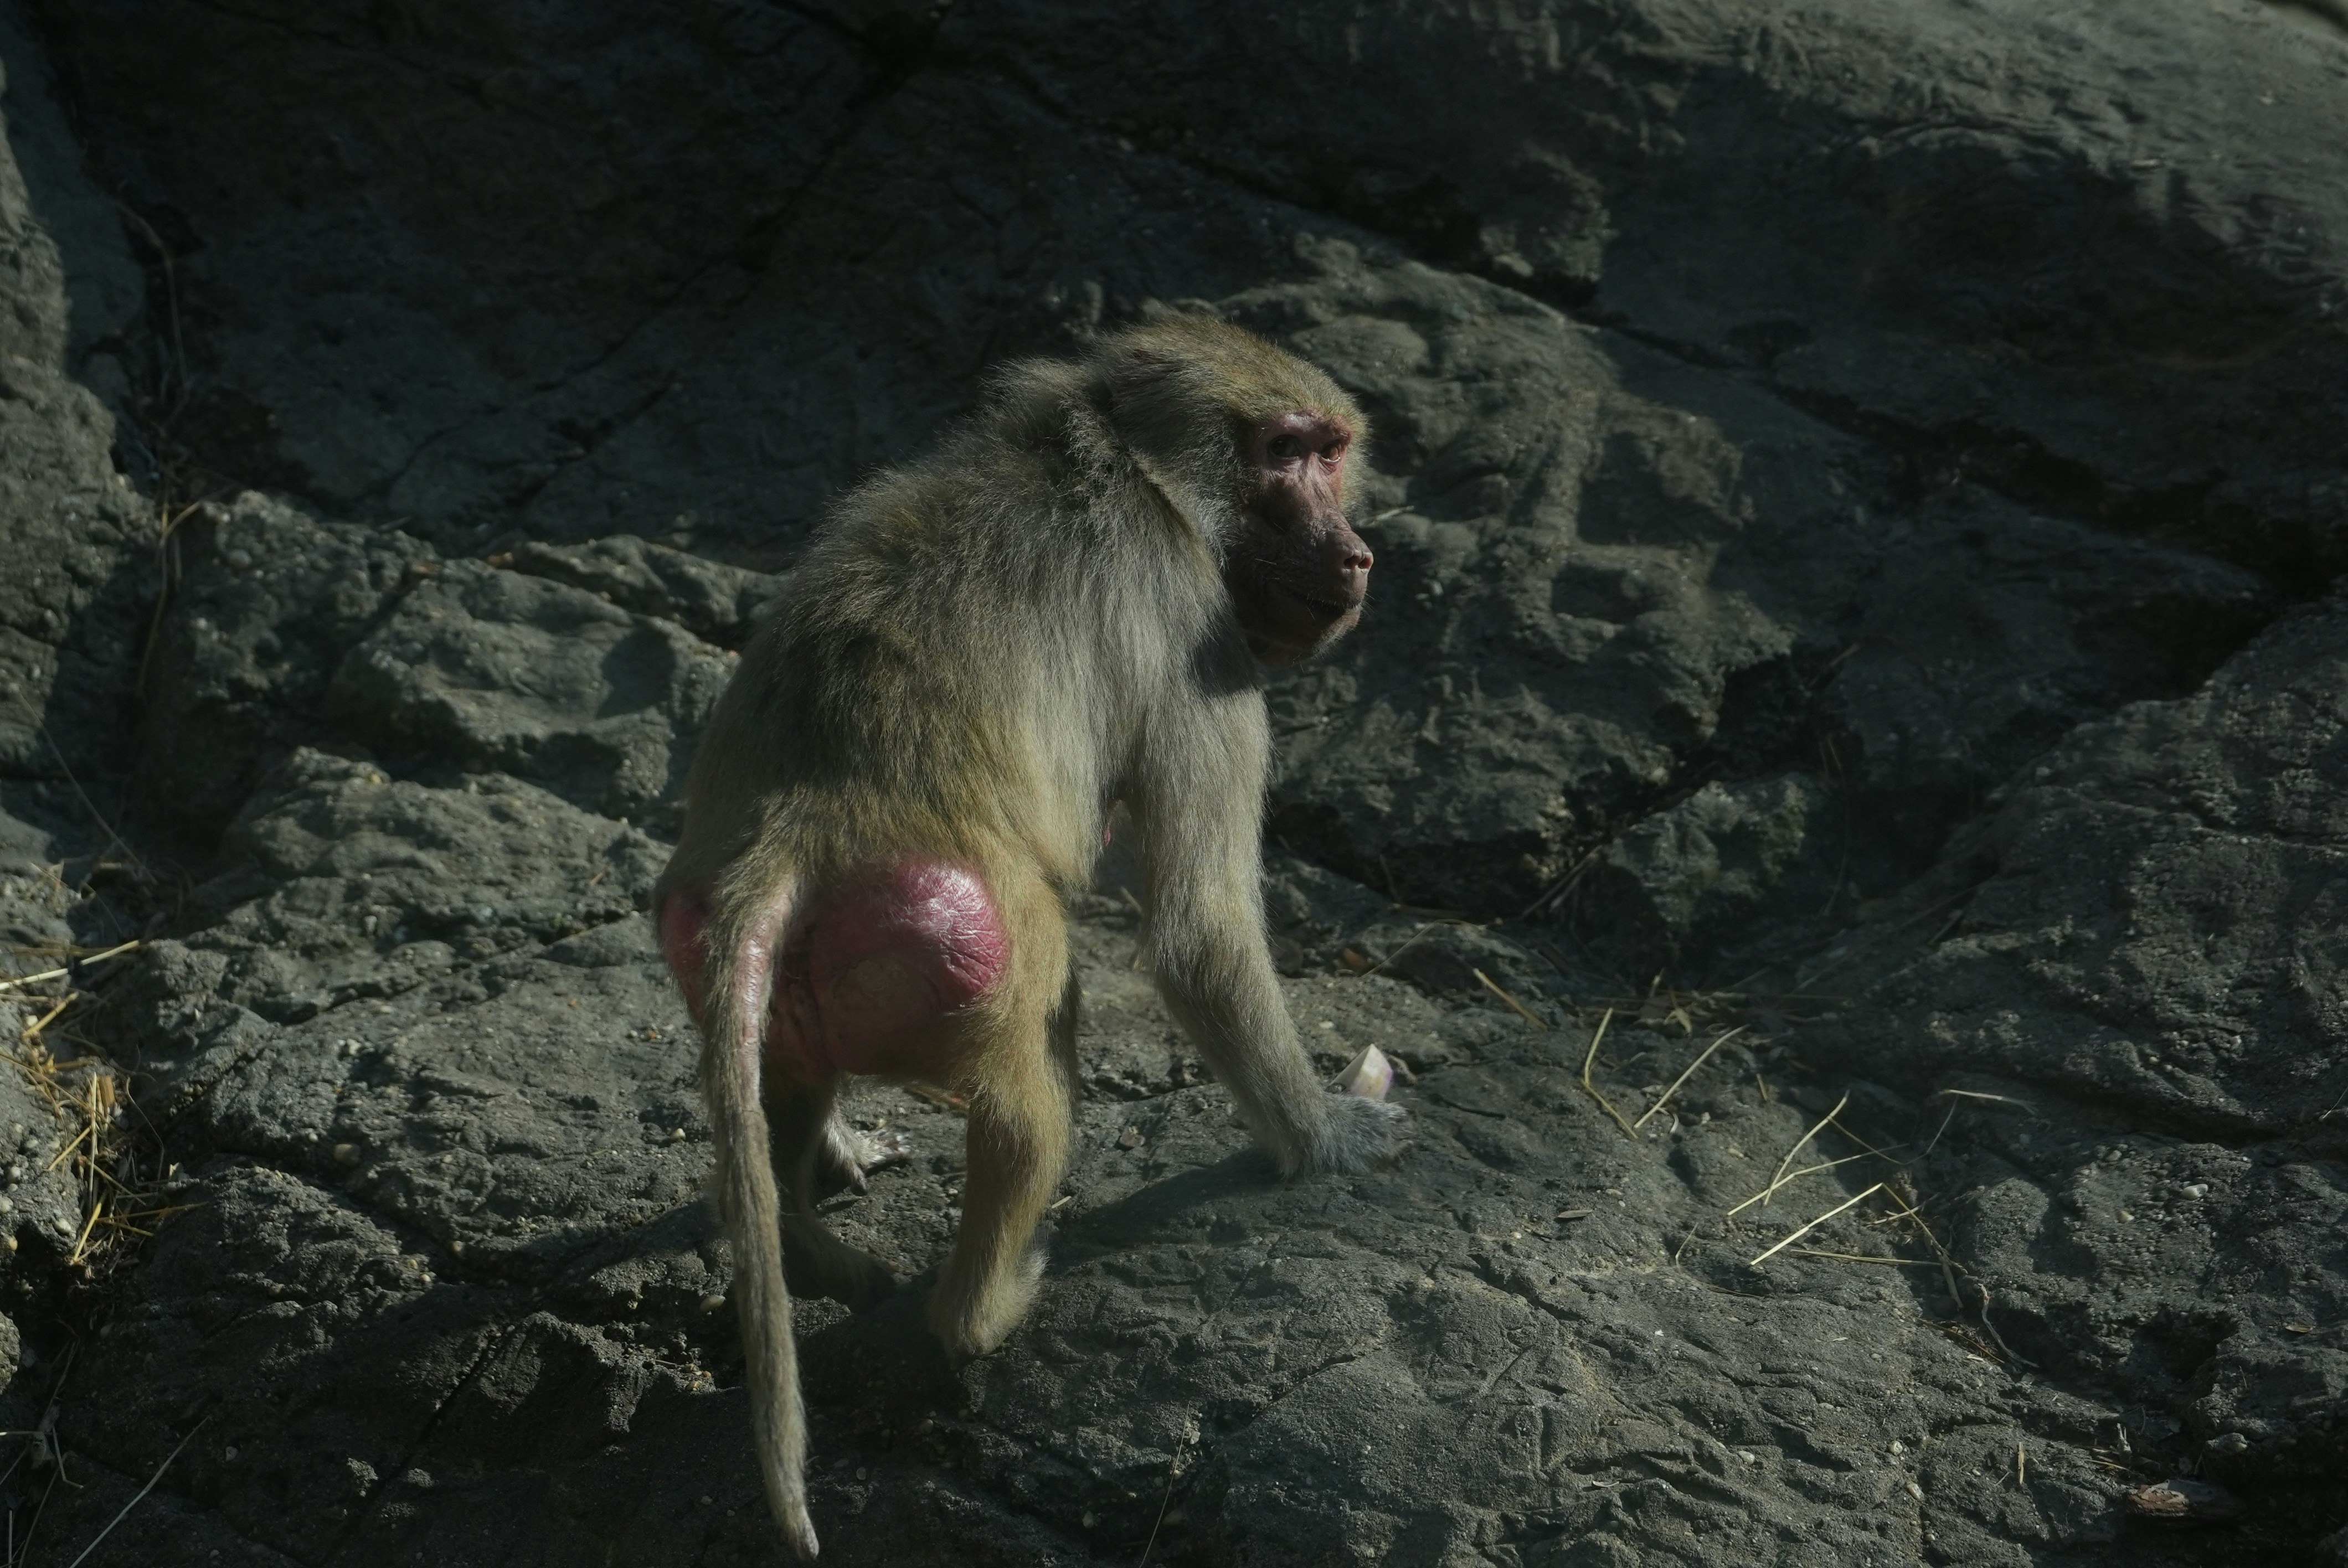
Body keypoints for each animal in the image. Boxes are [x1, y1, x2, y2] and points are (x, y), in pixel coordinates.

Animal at [653, 314, 1409, 1558]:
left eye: (1330, 450)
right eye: (1284, 452)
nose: (1354, 557)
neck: (1129, 464)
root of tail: (797, 827)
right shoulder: (1194, 626)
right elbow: (1200, 928)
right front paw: (1328, 1138)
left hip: (736, 943)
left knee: (774, 1089)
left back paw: (814, 1235)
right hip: (968, 935)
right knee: (1029, 1094)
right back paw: (988, 1302)